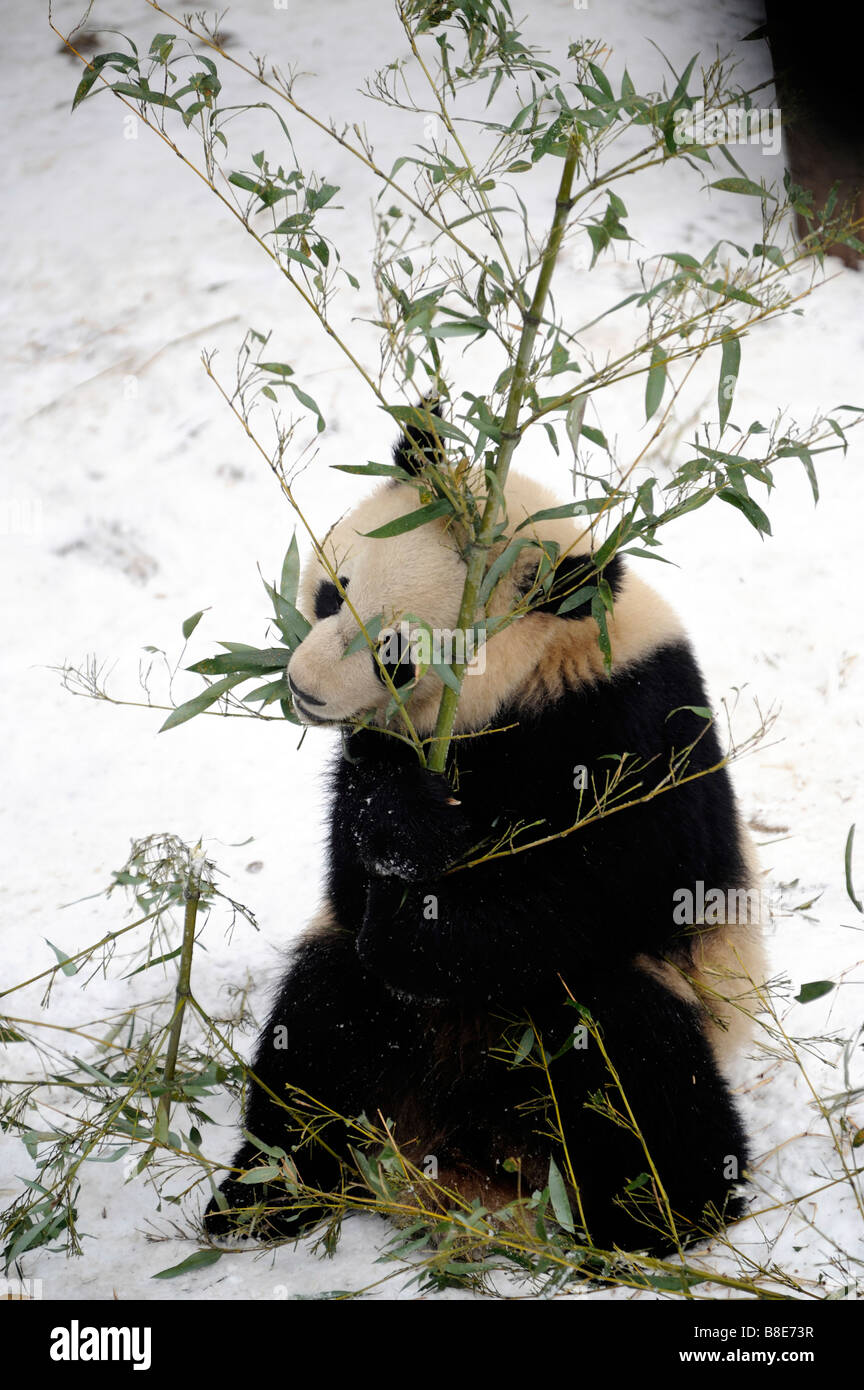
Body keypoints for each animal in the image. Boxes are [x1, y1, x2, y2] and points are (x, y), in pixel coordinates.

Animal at [204, 413, 766, 1254]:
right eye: (332, 594)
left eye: (398, 657)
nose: (302, 689)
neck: (540, 669)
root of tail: (462, 1153)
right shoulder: (382, 751)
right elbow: (352, 866)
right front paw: (403, 825)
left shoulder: (635, 724)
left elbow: (607, 891)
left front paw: (417, 921)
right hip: (368, 1032)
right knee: (318, 1031)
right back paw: (265, 1194)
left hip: (643, 1023)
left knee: (628, 1054)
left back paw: (659, 1214)